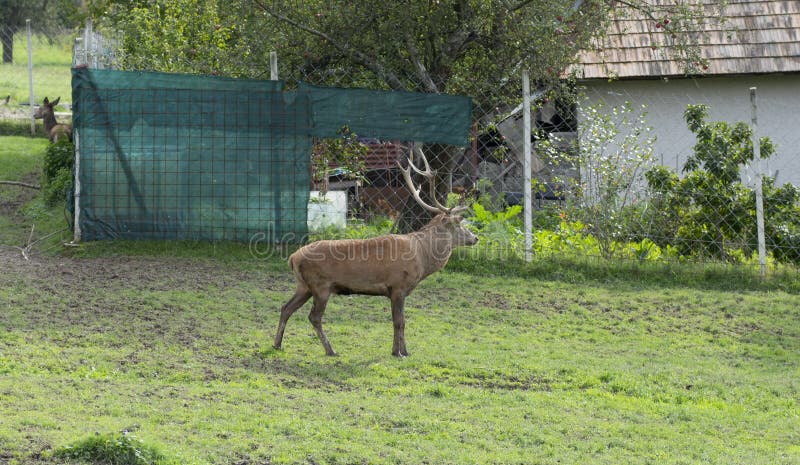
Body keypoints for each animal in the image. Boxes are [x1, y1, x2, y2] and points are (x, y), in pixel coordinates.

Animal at [273, 146, 478, 357]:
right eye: (459, 223)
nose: (475, 238)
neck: (422, 257)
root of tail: (292, 258)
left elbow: (401, 322)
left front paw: (403, 351)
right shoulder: (398, 286)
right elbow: (399, 322)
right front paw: (398, 352)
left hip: (303, 286)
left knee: (286, 307)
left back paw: (277, 344)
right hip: (321, 285)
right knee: (313, 316)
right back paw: (330, 350)